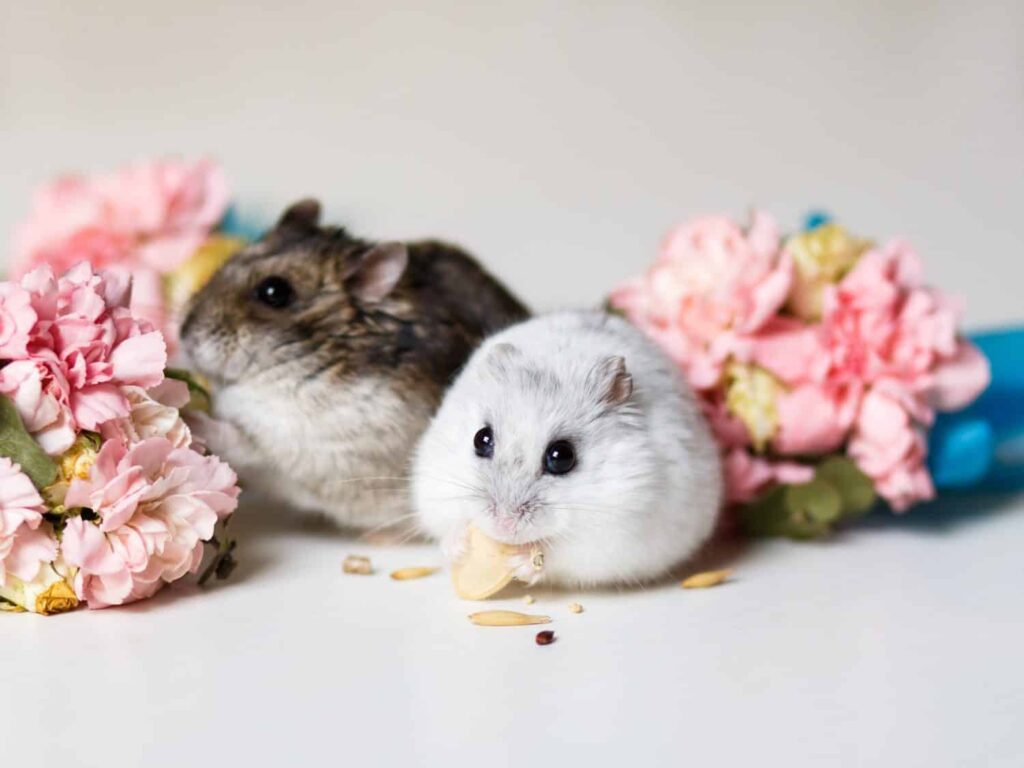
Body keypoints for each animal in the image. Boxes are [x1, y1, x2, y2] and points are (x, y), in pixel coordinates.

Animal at [180, 199, 529, 530]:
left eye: (274, 291)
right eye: (229, 264)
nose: (183, 333)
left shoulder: (301, 451)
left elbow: (240, 442)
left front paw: (191, 418)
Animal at [412, 310, 722, 587]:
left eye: (561, 457)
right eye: (481, 439)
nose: (504, 525)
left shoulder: (612, 535)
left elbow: (557, 554)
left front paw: (521, 562)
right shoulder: (435, 487)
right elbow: (449, 523)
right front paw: (460, 547)